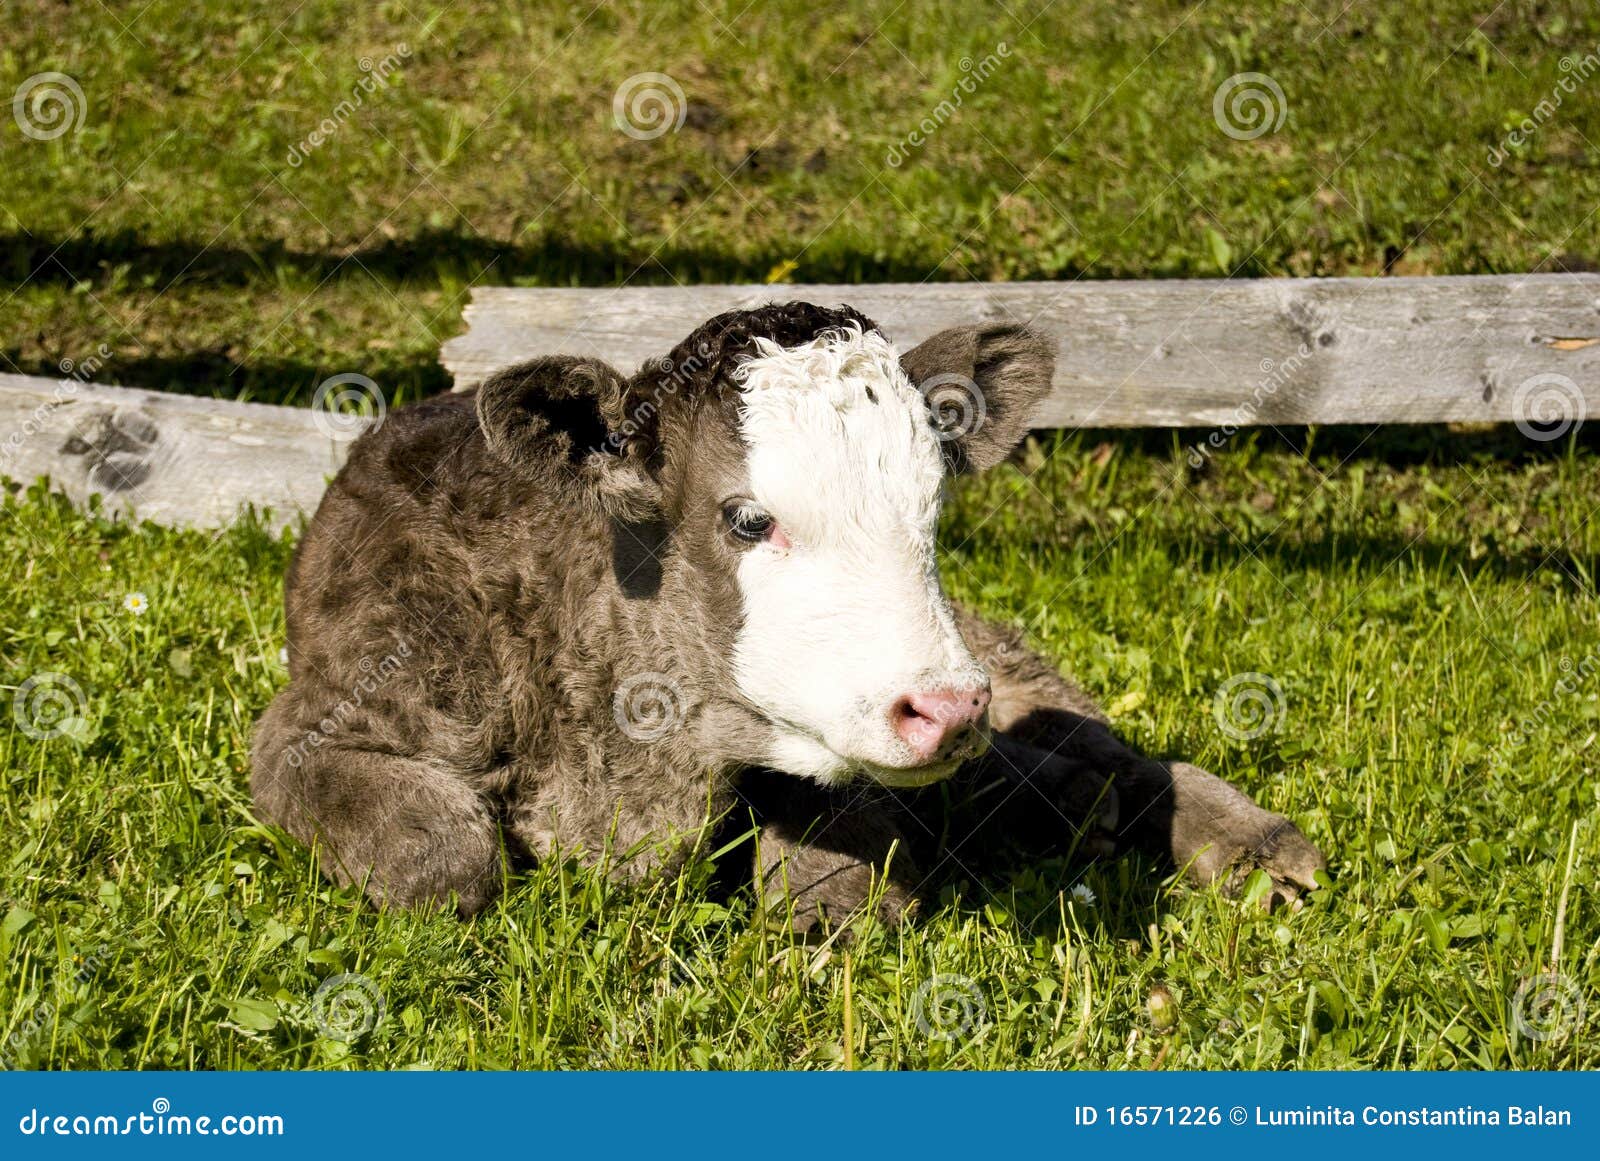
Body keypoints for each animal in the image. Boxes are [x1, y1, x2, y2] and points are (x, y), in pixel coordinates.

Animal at [250, 302, 1324, 929]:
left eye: (934, 500)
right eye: (747, 517)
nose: (945, 707)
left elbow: (838, 883)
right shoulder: (320, 718)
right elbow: (444, 853)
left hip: (988, 658)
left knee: (1092, 746)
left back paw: (1247, 844)